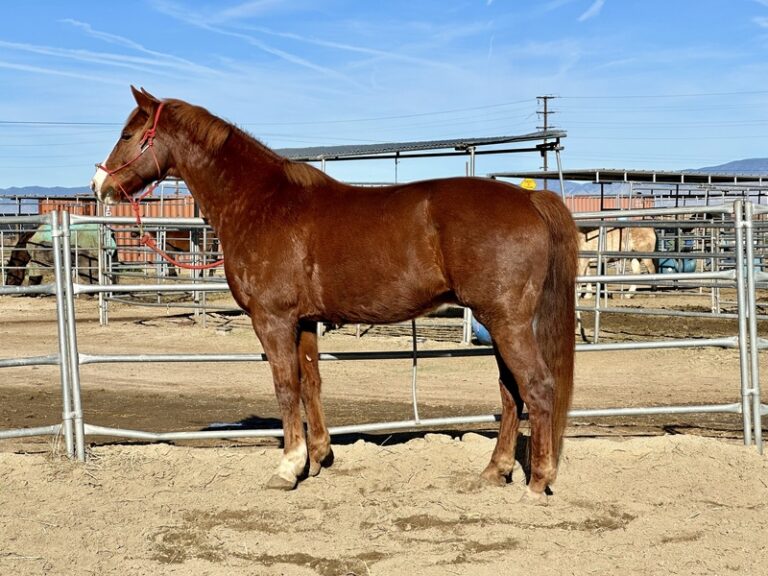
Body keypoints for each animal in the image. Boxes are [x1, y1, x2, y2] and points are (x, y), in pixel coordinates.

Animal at [91, 87, 578, 502]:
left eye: (128, 134)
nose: (99, 186)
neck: (261, 204)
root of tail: (530, 200)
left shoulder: (273, 319)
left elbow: (286, 385)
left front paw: (288, 467)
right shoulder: (305, 320)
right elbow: (312, 383)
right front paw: (320, 455)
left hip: (507, 321)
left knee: (536, 388)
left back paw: (537, 483)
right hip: (499, 322)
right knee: (511, 391)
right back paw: (495, 471)